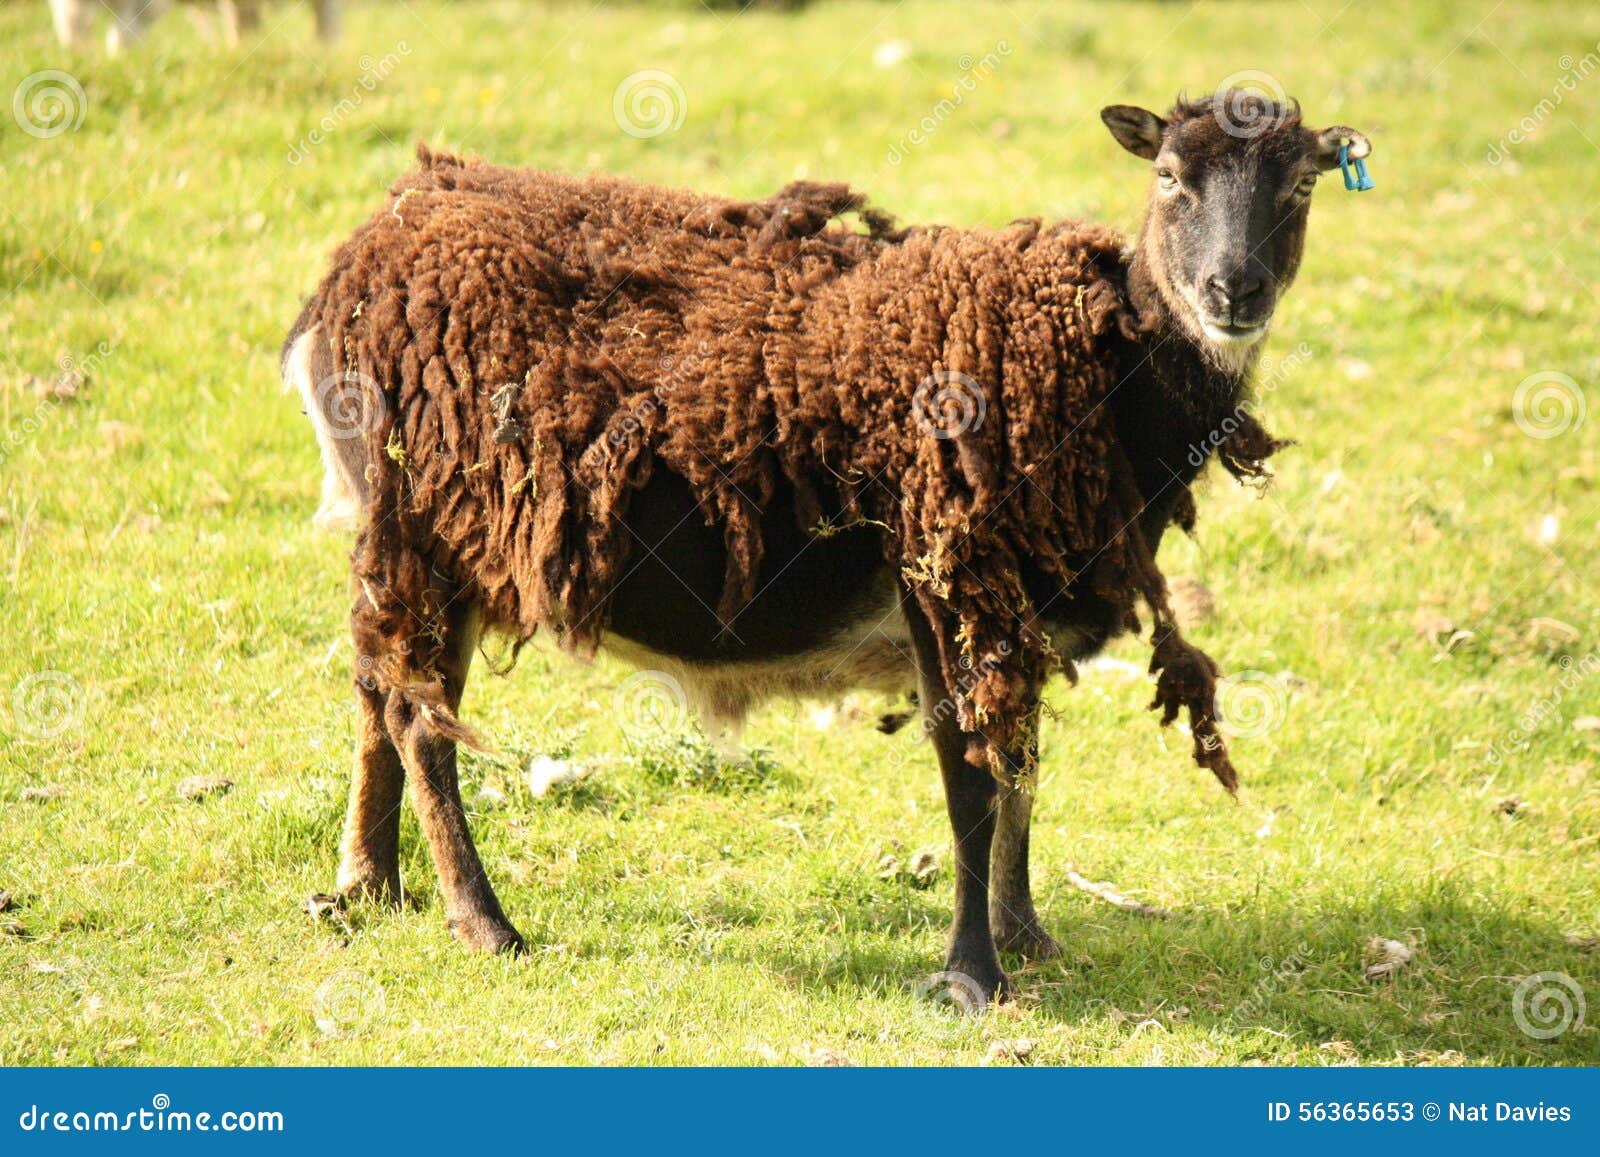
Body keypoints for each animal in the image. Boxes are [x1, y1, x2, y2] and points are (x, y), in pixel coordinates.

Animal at [283, 91, 1370, 1004]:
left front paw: (1026, 936)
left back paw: (369, 884)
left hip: (423, 535)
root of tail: (362, 255)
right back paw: (484, 922)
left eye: (1300, 185)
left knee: (379, 688)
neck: (1105, 366)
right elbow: (971, 773)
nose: (1234, 290)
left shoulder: (1013, 599)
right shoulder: (937, 566)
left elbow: (1020, 759)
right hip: (431, 515)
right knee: (420, 717)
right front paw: (973, 976)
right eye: (1170, 178)